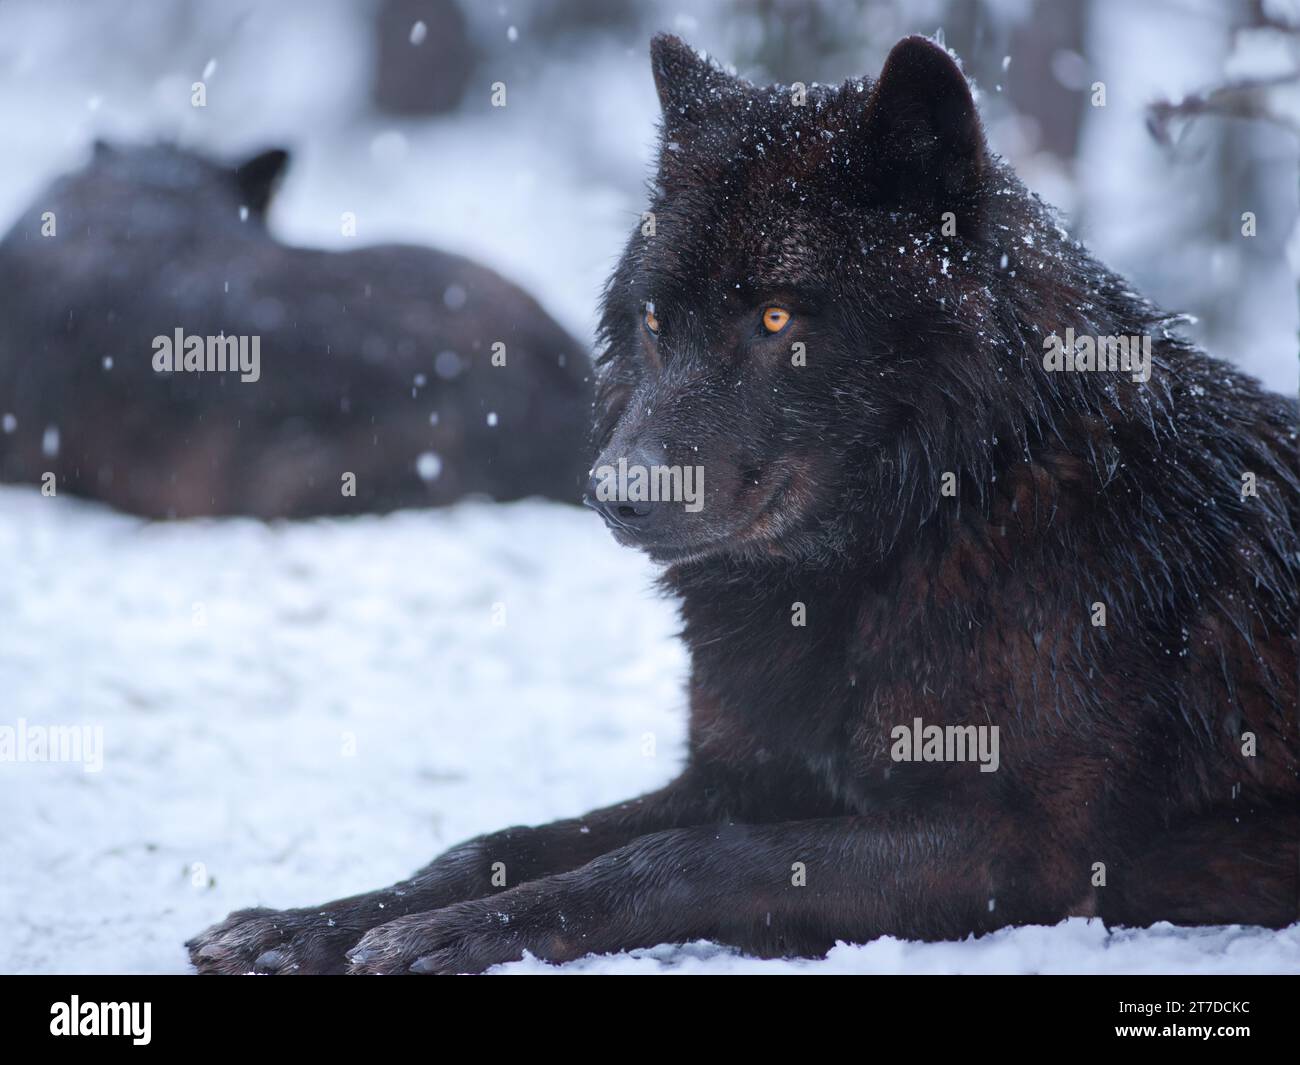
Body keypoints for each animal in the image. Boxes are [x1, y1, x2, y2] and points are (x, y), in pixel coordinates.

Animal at [189, 34, 1299, 974]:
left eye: (773, 317)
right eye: (652, 320)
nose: (615, 494)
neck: (923, 531)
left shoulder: (1020, 850)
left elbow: (691, 858)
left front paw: (453, 934)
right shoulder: (736, 773)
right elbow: (500, 840)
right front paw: (309, 922)